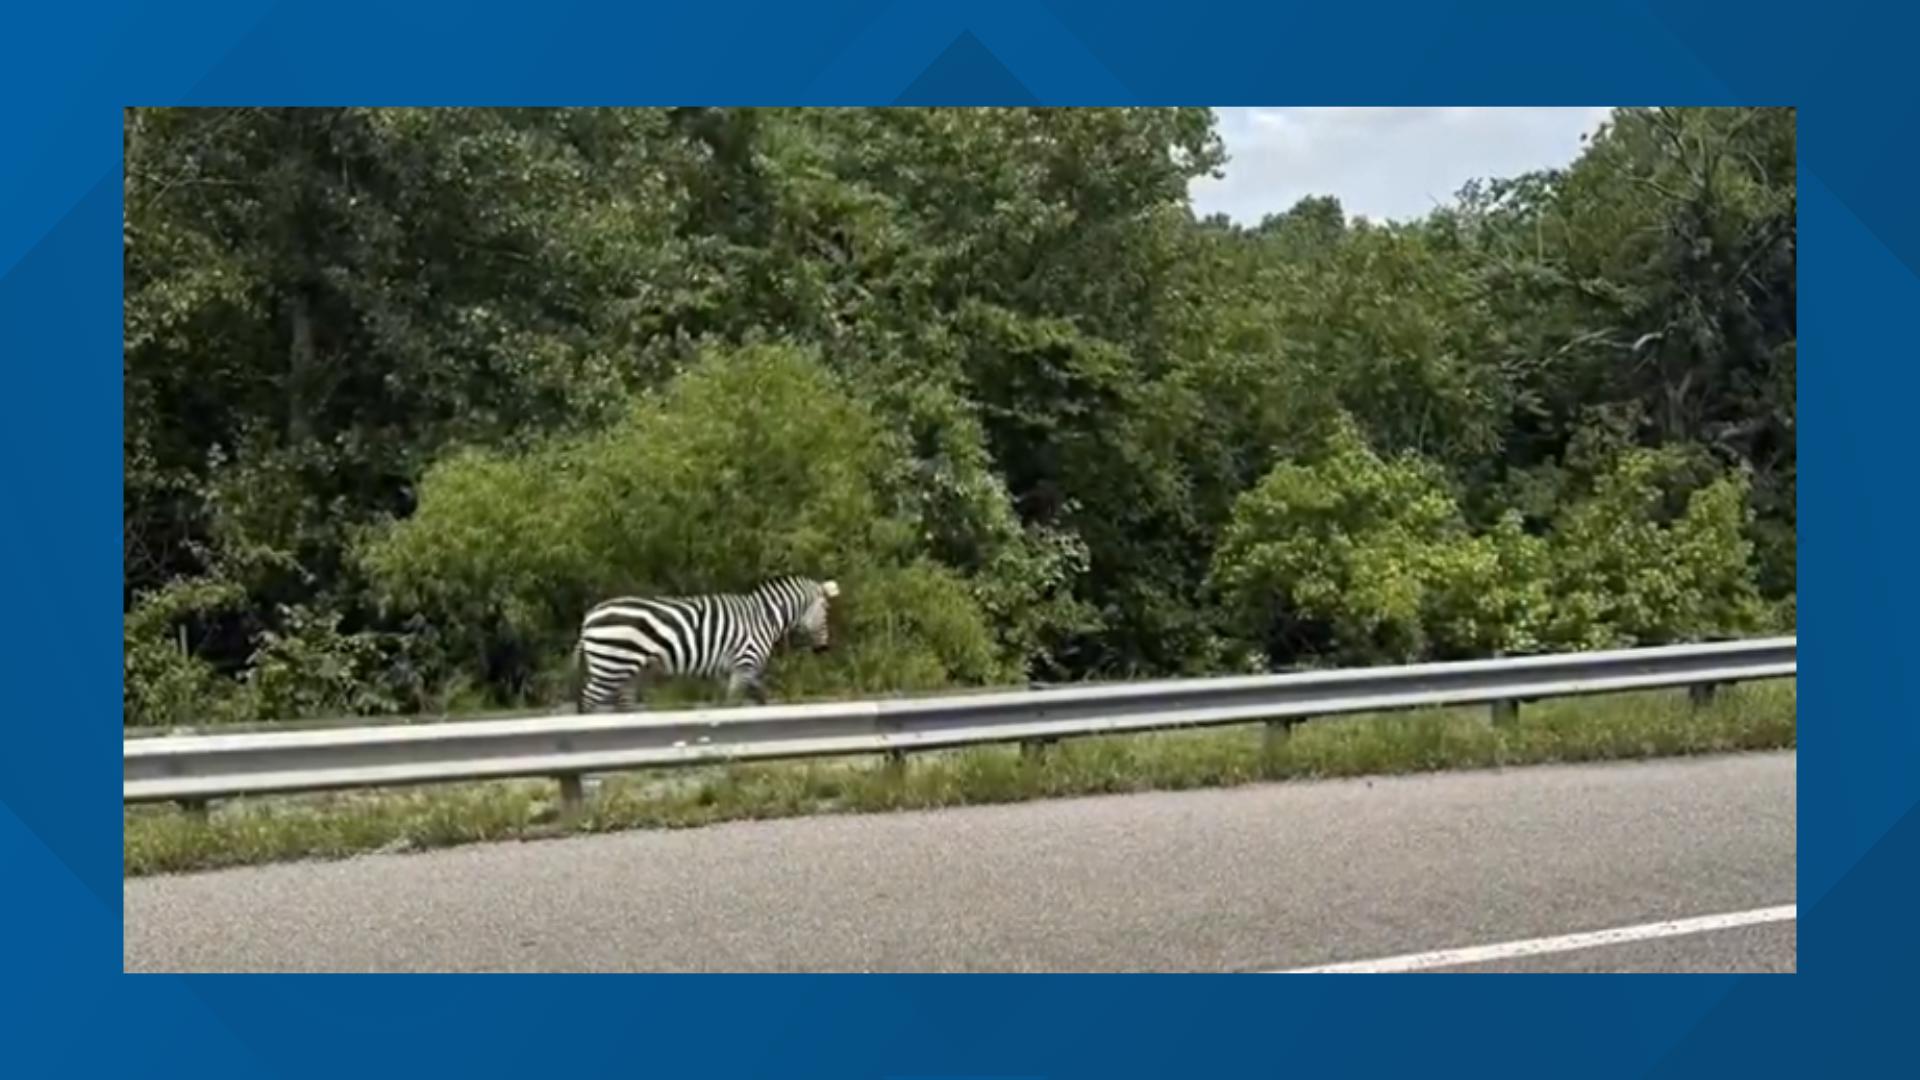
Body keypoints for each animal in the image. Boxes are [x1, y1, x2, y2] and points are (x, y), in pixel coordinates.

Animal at [573, 575, 840, 713]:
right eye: (826, 611)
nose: (823, 649)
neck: (765, 618)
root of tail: (589, 618)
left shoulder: (741, 670)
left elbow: (760, 699)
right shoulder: (744, 664)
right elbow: (732, 704)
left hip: (626, 668)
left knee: (623, 703)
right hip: (612, 664)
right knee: (588, 700)